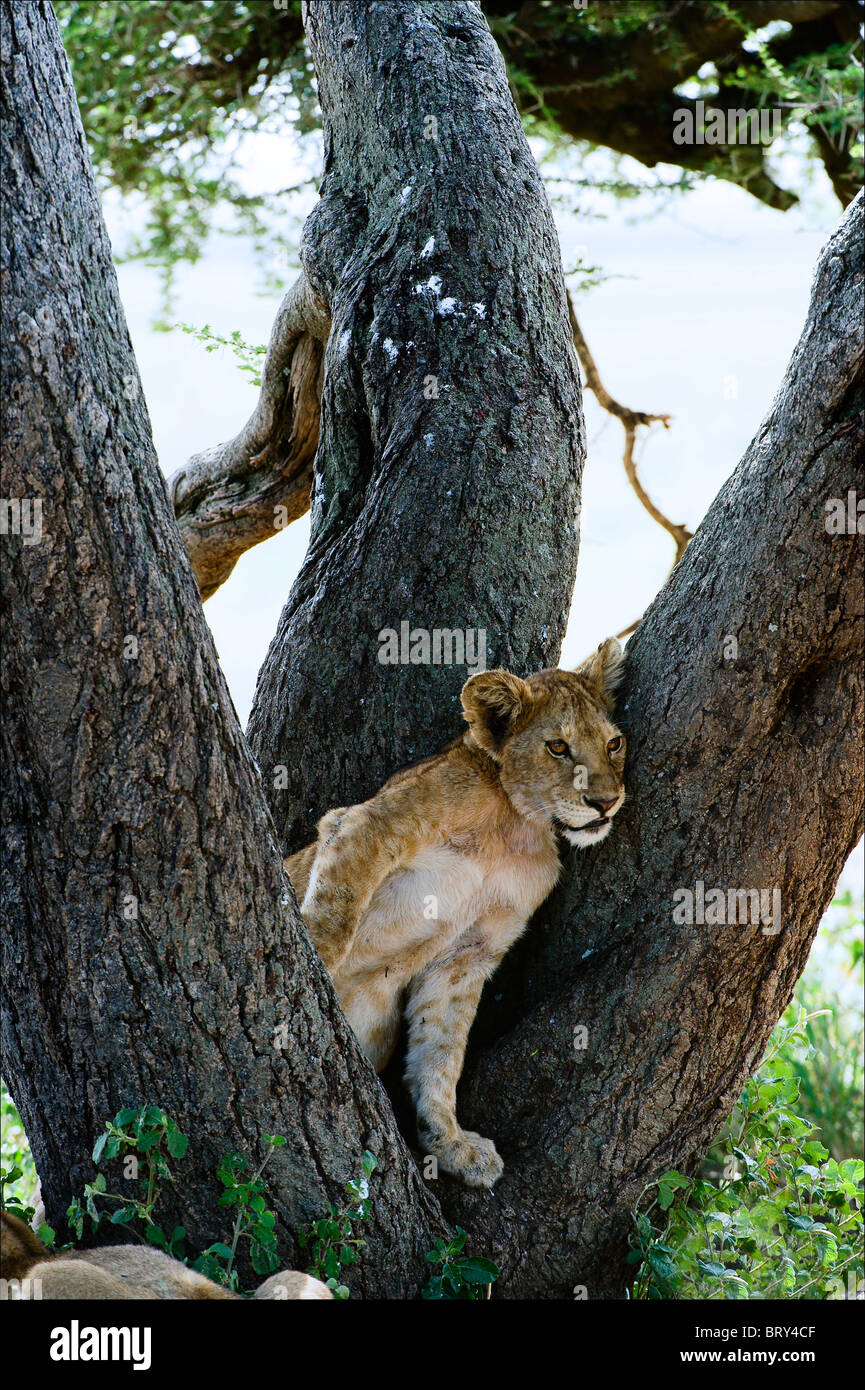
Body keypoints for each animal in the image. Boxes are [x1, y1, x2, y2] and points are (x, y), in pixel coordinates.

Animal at [284, 637, 627, 1189]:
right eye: (558, 747)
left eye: (614, 744)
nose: (605, 803)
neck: (512, 826)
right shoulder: (362, 824)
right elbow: (331, 927)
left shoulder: (466, 956)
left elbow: (441, 1055)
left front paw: (449, 1143)